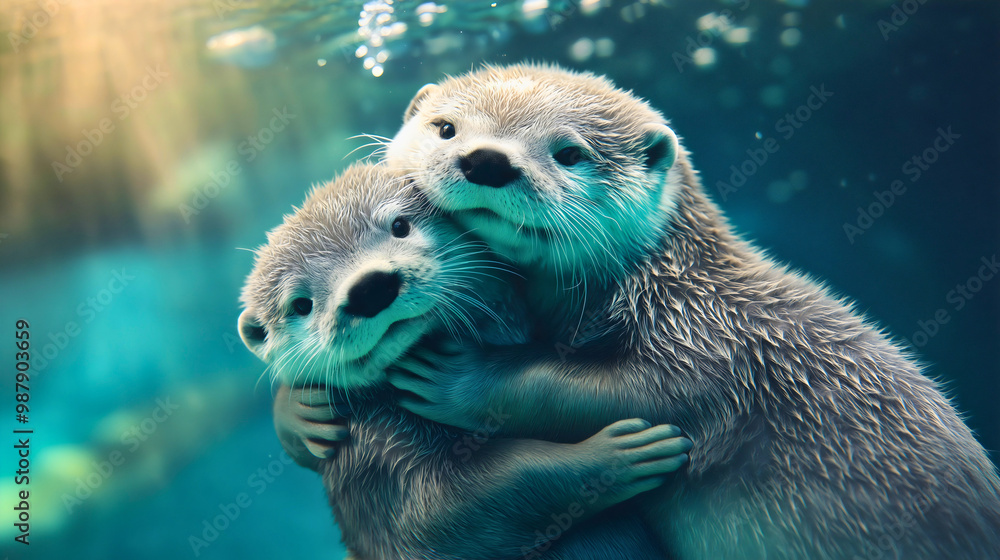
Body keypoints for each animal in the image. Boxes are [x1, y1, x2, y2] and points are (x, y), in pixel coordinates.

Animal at [237, 162, 691, 560]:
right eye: (300, 304)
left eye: (399, 225)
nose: (369, 287)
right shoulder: (376, 460)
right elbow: (459, 508)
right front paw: (617, 457)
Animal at [382, 64, 1000, 559]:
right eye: (445, 127)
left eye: (569, 153)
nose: (486, 159)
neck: (675, 286)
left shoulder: (717, 348)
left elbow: (603, 395)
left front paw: (460, 376)